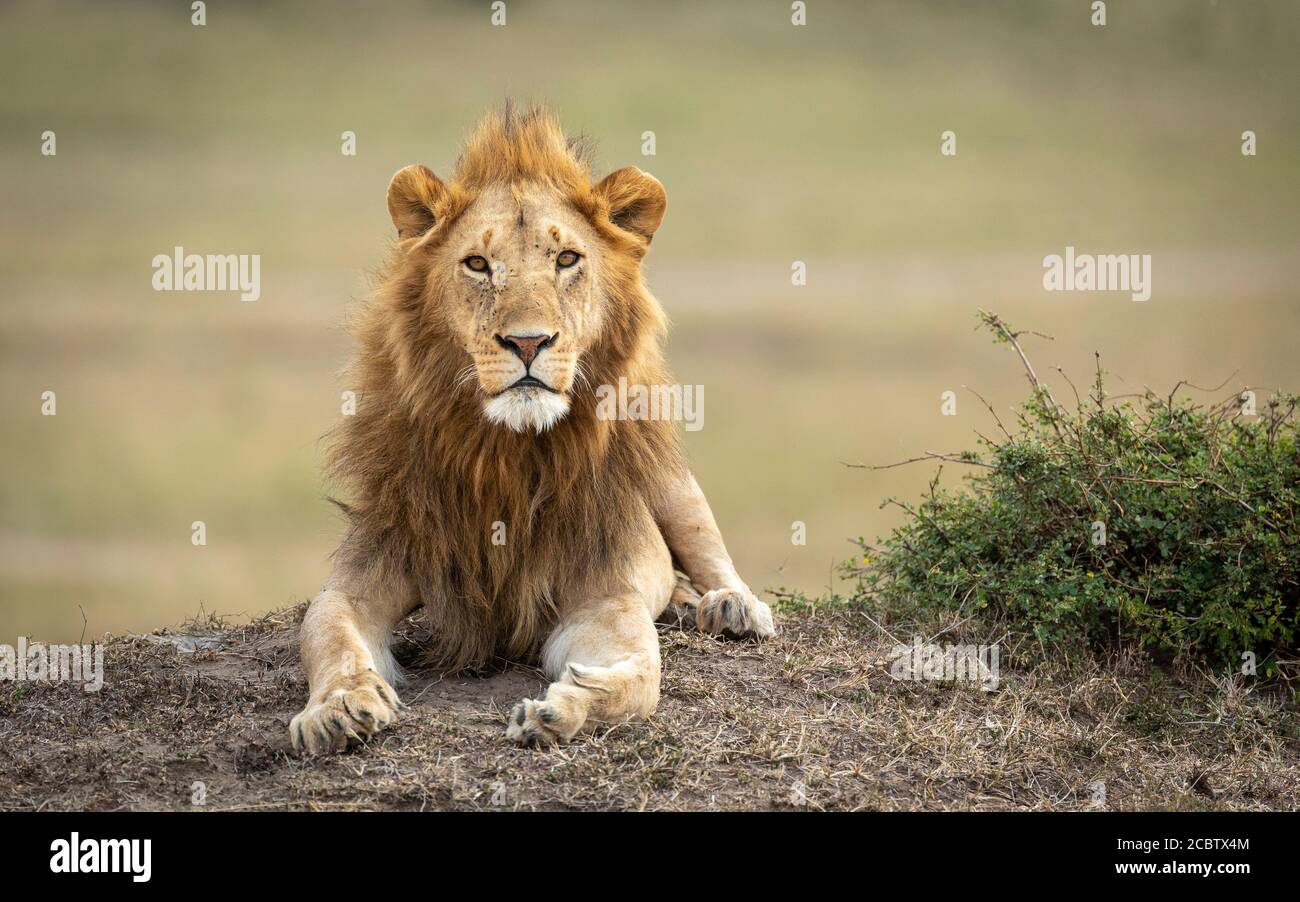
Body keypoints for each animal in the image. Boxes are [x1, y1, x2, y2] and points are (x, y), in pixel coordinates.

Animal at [290, 104, 774, 754]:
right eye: (477, 264)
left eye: (567, 260)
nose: (526, 342)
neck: (504, 451)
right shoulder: (361, 578)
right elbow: (331, 636)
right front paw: (338, 708)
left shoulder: (605, 594)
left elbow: (641, 678)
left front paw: (564, 707)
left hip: (673, 484)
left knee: (709, 553)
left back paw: (729, 608)